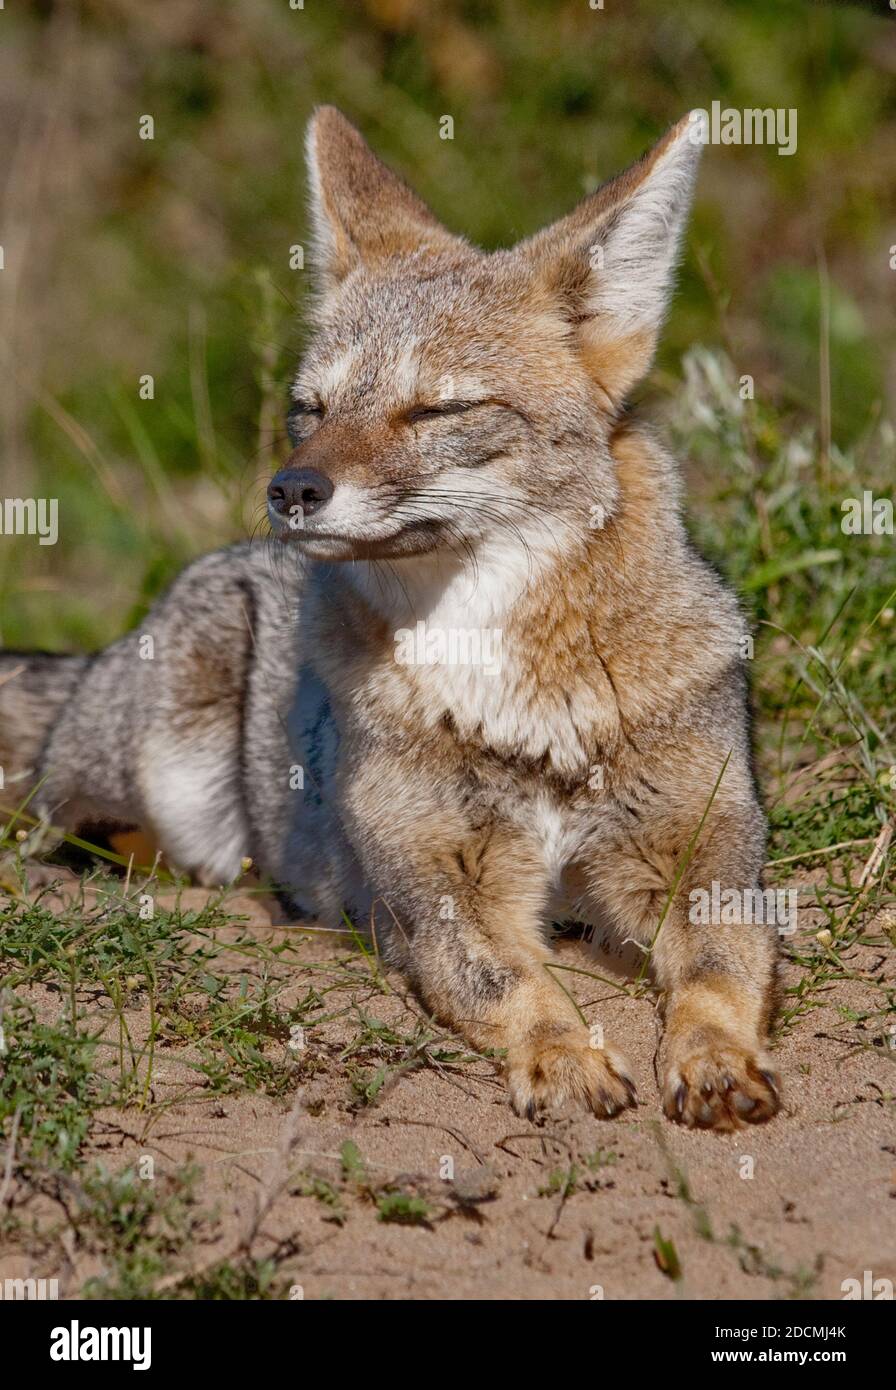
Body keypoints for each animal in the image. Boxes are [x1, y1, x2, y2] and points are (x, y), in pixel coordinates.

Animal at [0, 107, 781, 1131]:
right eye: (311, 408)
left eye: (436, 409)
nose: (291, 489)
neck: (520, 702)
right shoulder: (440, 882)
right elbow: (505, 979)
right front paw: (564, 1056)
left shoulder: (699, 846)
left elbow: (722, 968)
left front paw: (714, 1058)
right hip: (161, 766)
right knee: (66, 830)